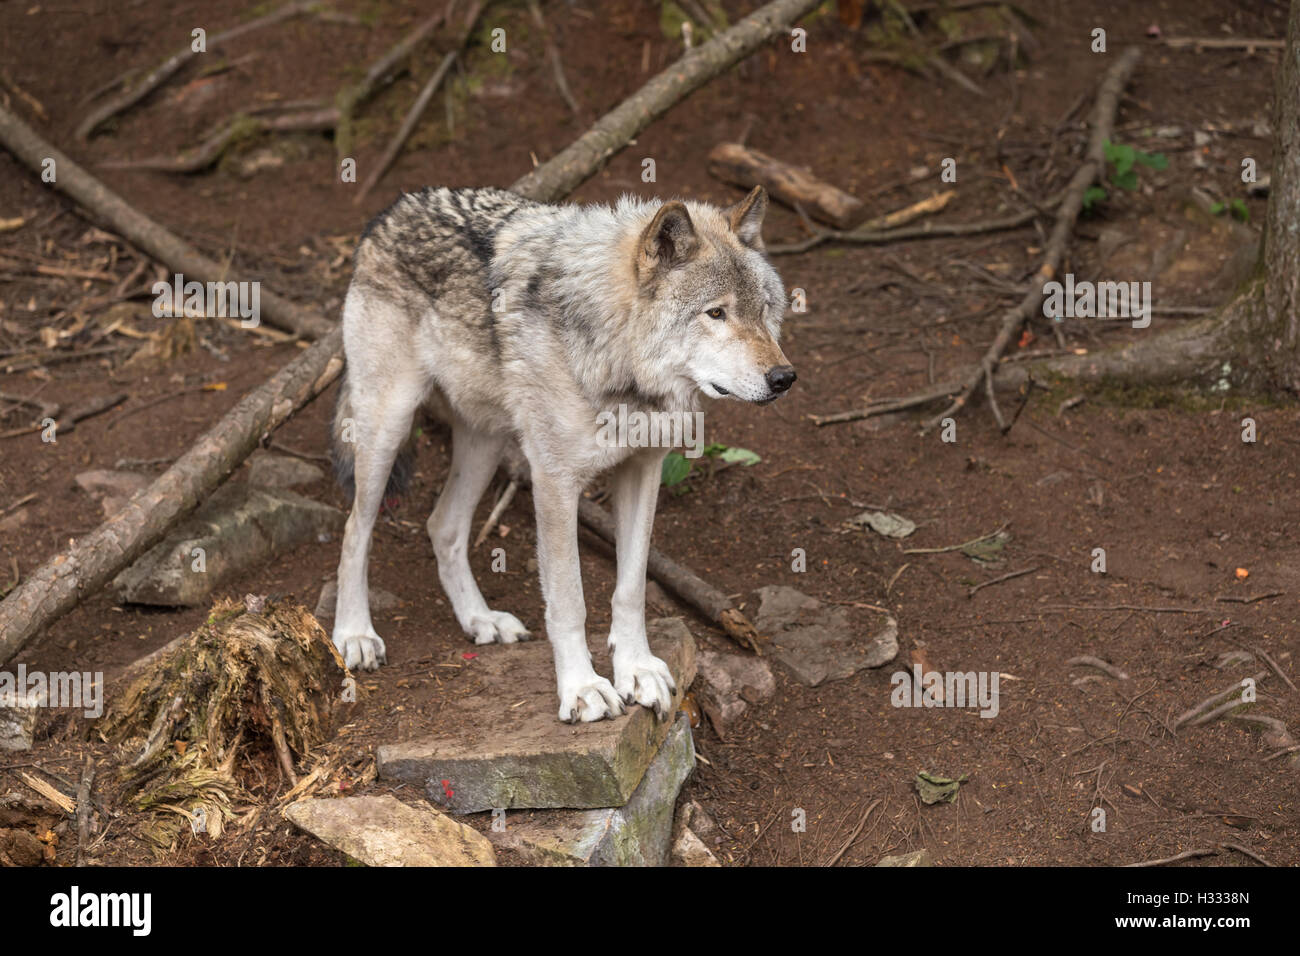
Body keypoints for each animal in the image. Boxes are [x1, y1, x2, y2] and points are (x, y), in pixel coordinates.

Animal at [330, 184, 795, 723]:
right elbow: (570, 600)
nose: (784, 378)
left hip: (486, 442)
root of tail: (392, 209)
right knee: (354, 530)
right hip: (388, 427)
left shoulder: (643, 470)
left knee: (442, 526)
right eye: (716, 313)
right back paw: (355, 635)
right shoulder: (555, 482)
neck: (619, 364)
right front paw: (583, 688)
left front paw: (636, 670)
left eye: (764, 310)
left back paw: (480, 619)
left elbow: (631, 588)